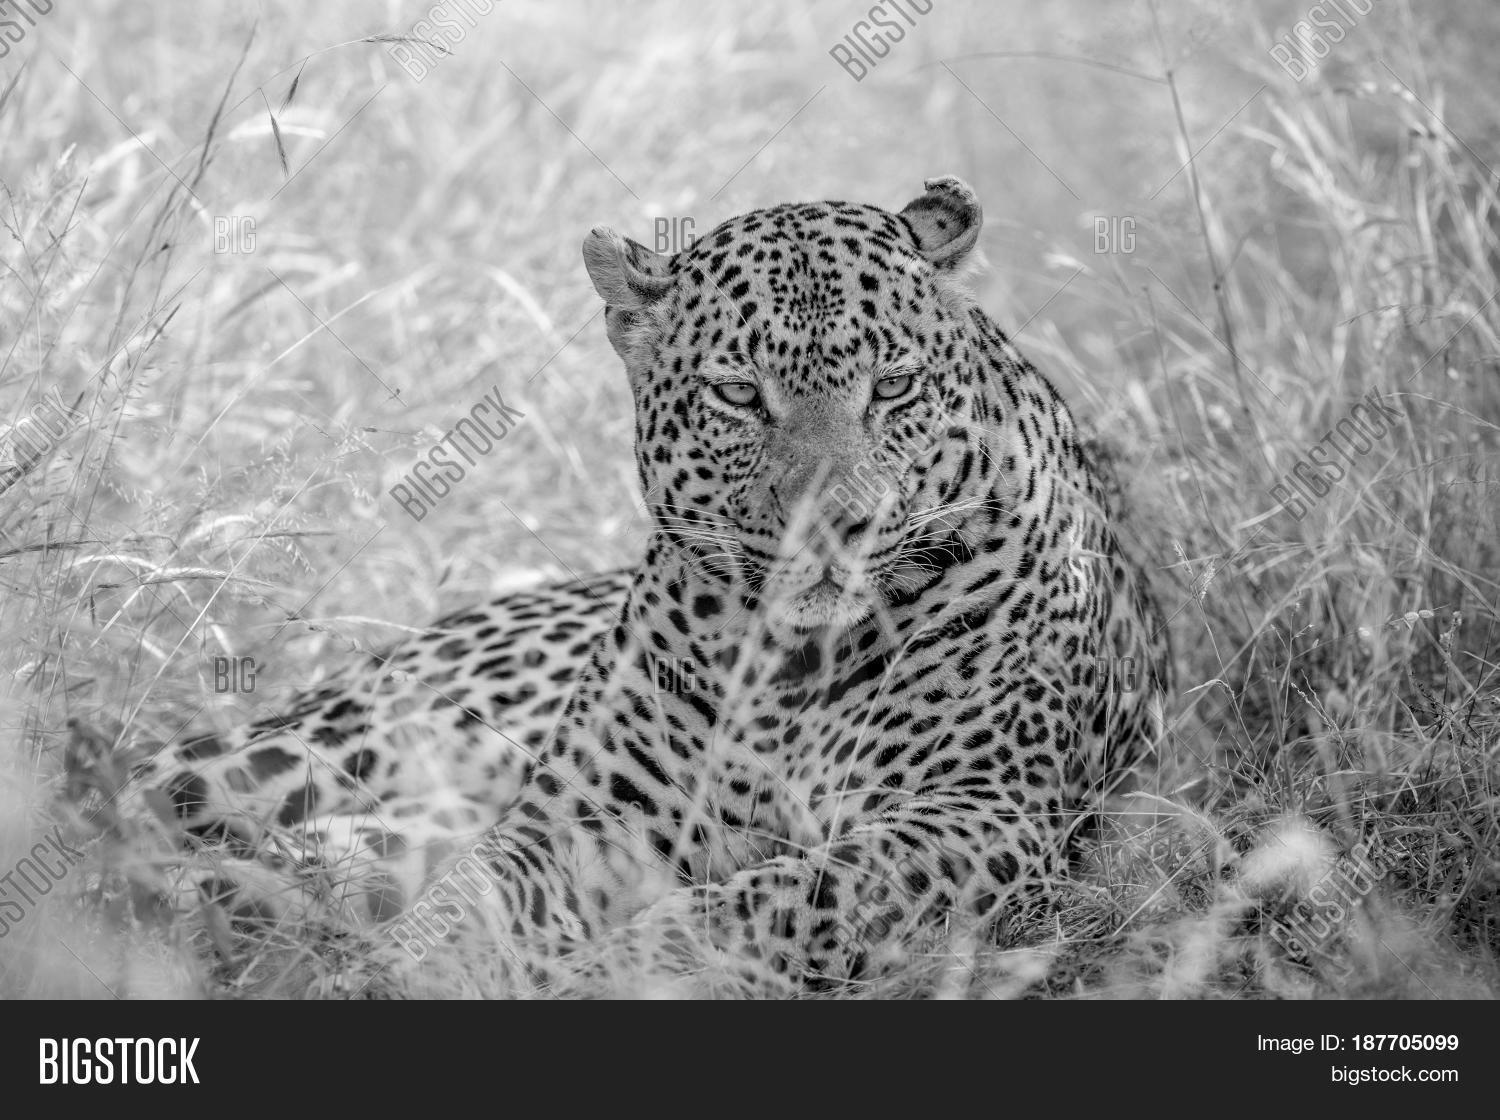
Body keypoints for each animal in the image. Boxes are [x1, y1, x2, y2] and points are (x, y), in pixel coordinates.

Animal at [65, 176, 1170, 996]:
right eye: (739, 394)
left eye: (892, 388)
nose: (834, 527)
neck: (791, 665)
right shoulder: (582, 814)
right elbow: (469, 903)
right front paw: (399, 973)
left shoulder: (978, 819)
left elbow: (775, 902)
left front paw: (613, 972)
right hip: (333, 744)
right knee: (122, 785)